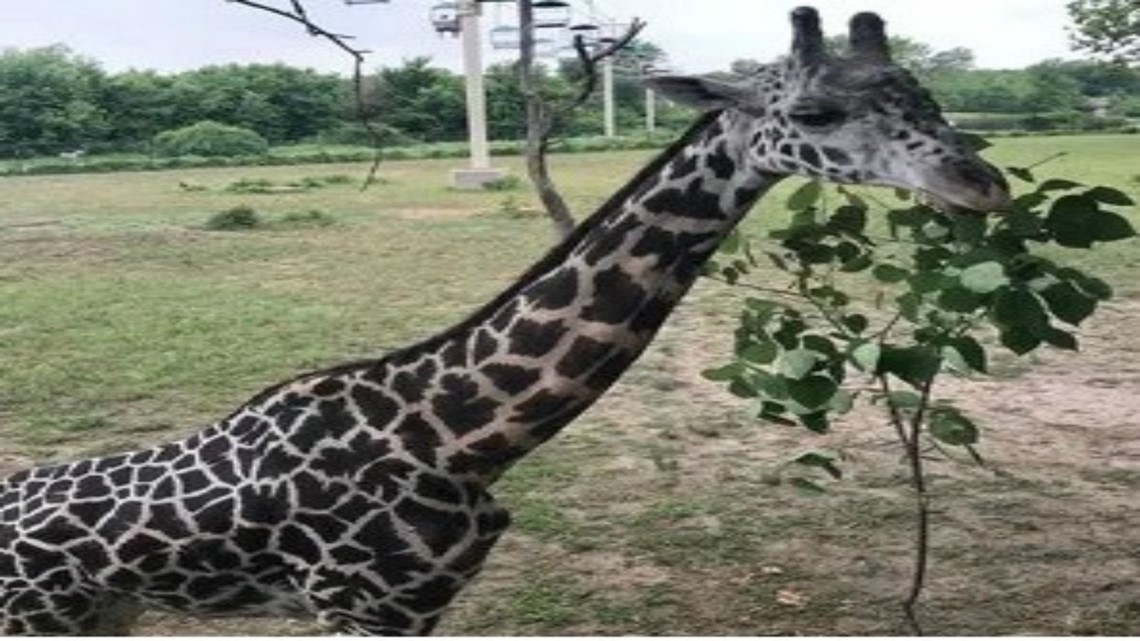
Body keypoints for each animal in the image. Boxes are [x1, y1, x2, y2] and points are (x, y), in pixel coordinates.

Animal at [0, 7, 1010, 636]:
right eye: (814, 110)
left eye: (924, 94)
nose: (981, 184)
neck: (459, 437)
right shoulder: (360, 605)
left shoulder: (418, 606)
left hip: (102, 612)